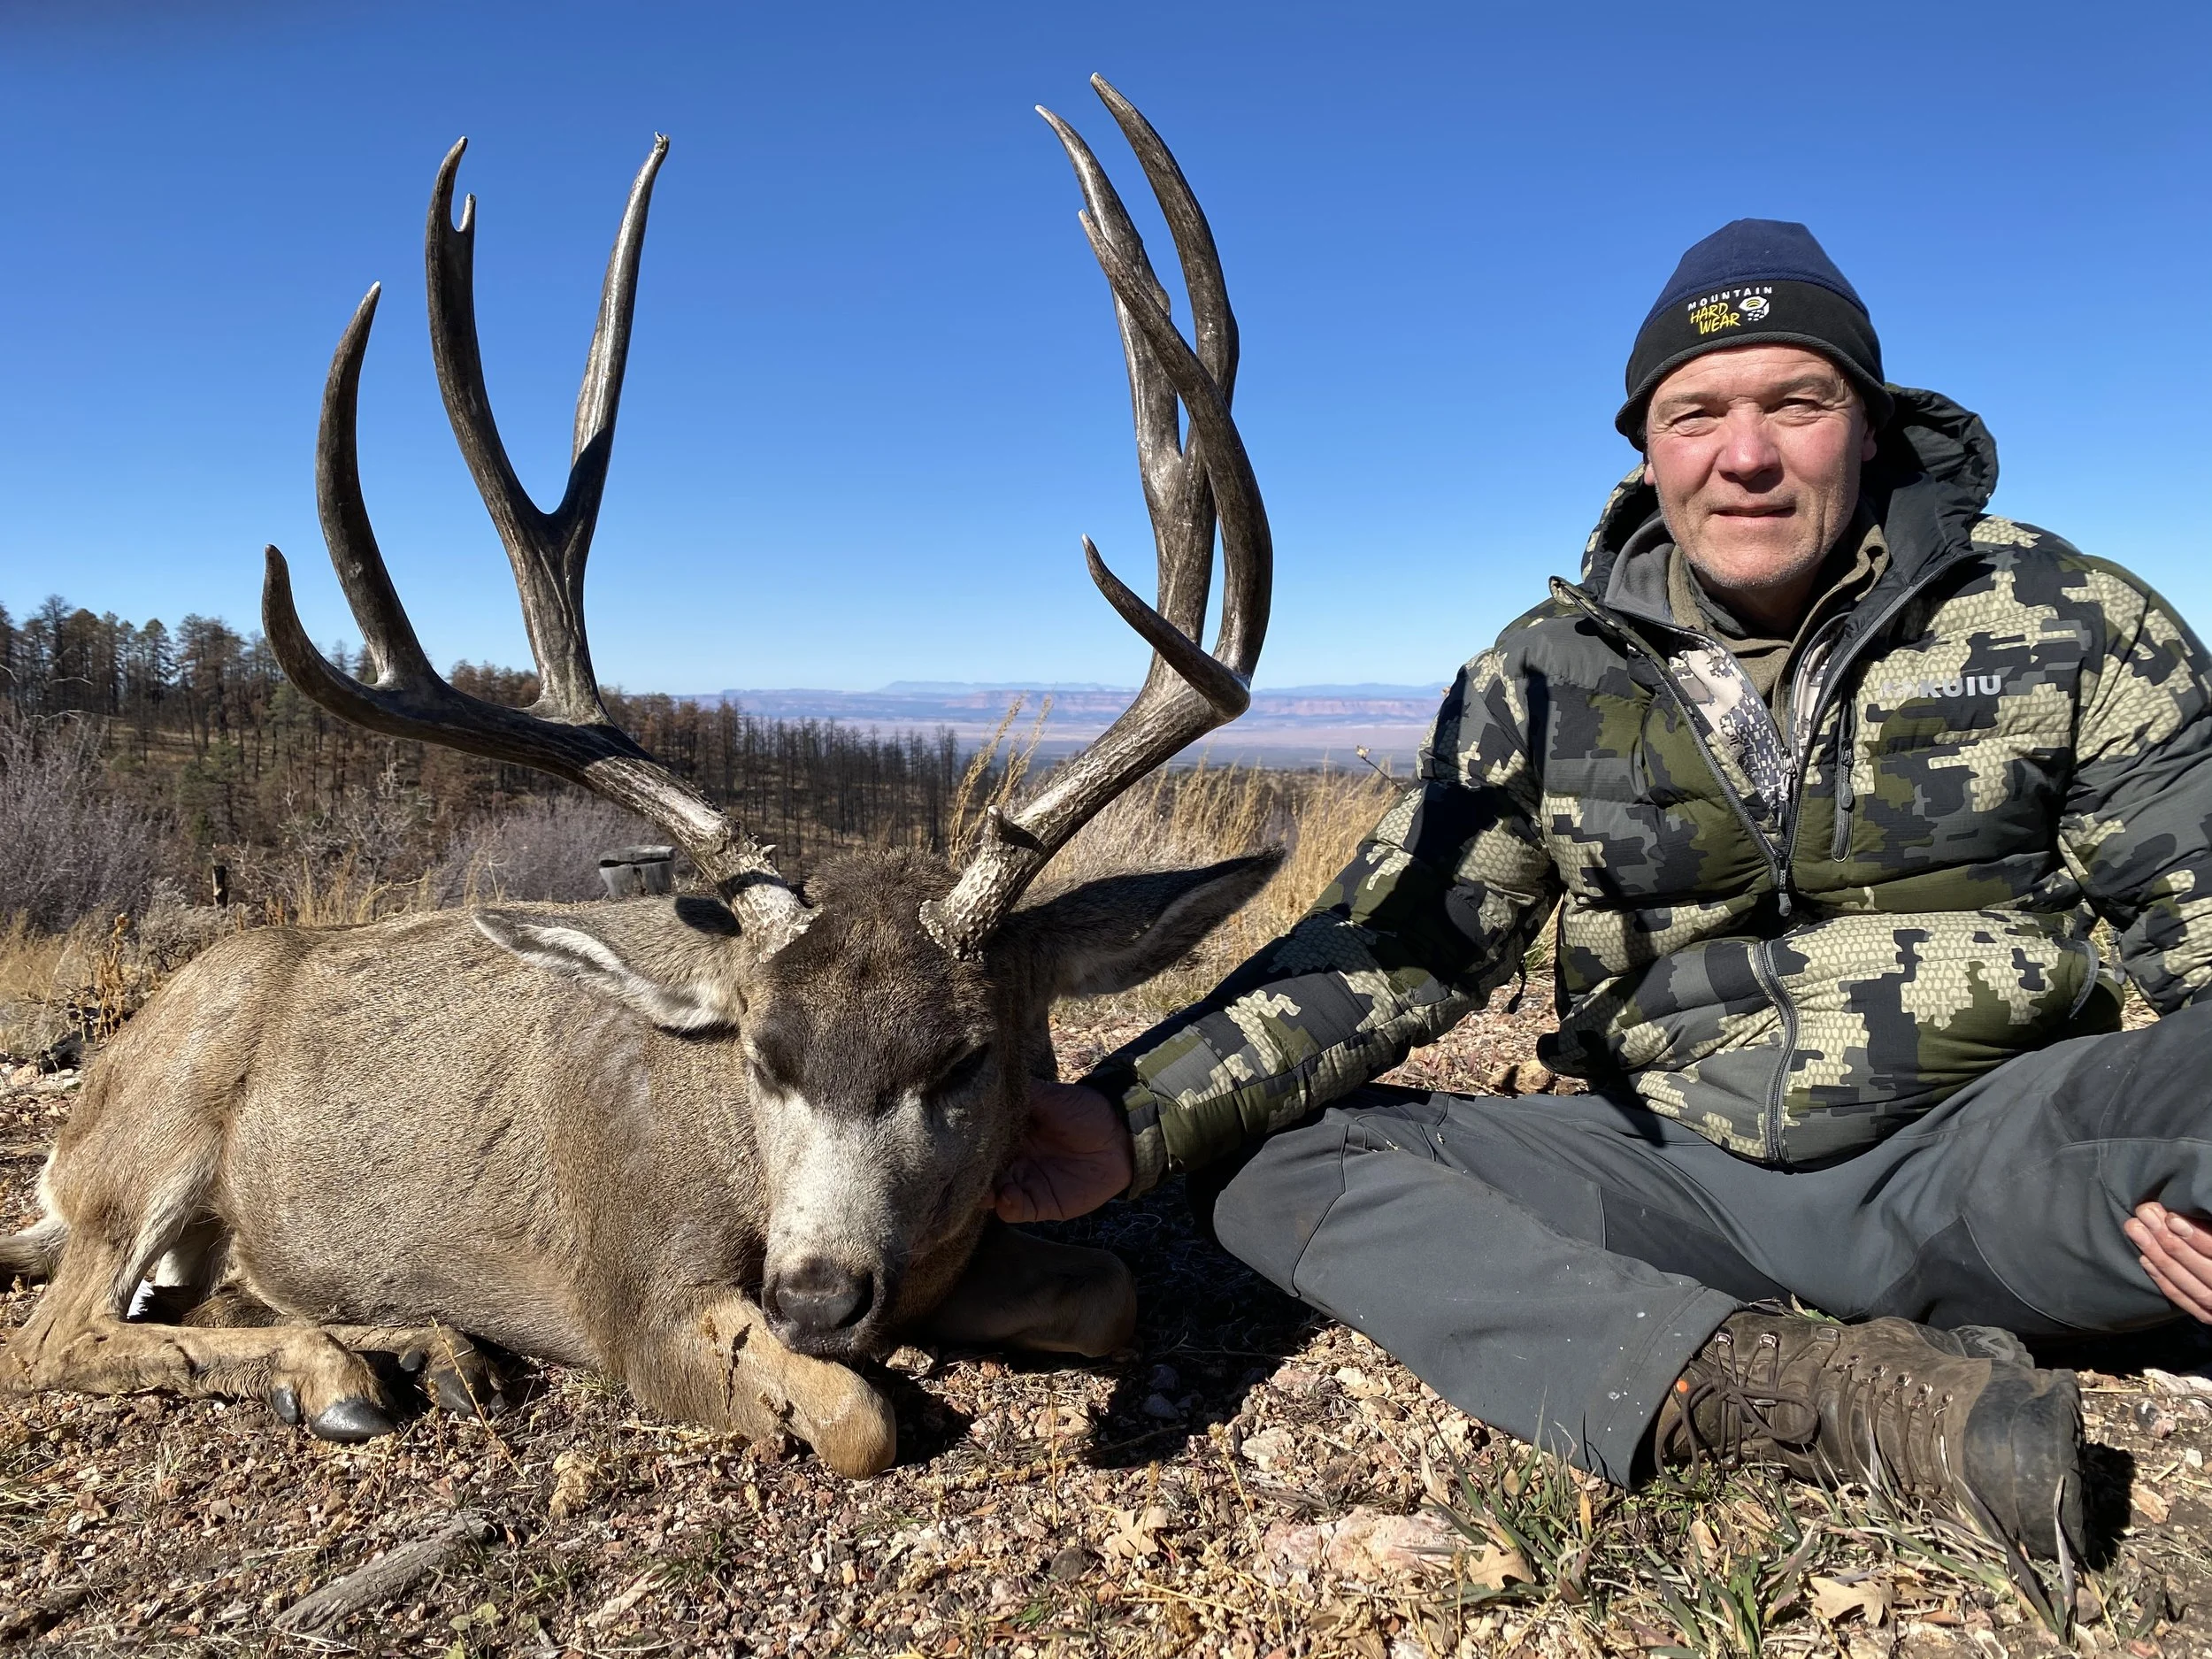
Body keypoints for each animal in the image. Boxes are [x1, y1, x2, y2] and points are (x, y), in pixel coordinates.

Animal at [0, 77, 1274, 1478]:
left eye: (967, 1060)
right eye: (763, 1055)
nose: (818, 1292)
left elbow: (1110, 1288)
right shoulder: (639, 1296)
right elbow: (858, 1414)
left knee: (191, 1295)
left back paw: (421, 1348)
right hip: (151, 1127)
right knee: (52, 1337)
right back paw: (333, 1369)